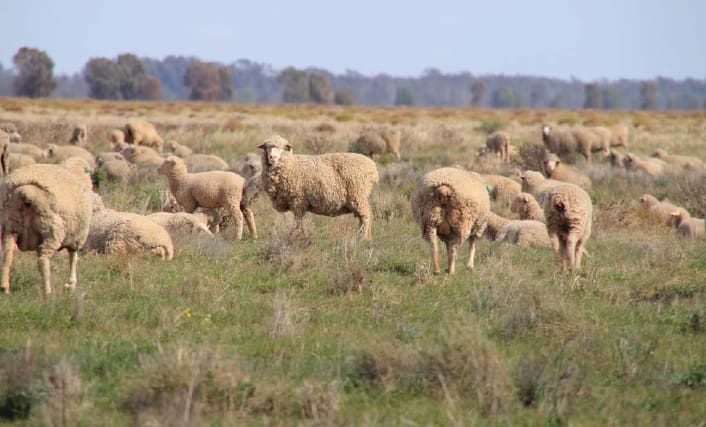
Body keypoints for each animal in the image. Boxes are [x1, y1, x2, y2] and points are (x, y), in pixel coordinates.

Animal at [0, 164, 93, 294]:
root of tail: (26, 193)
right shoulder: (77, 238)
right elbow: (73, 259)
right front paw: (71, 284)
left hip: (10, 225)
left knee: (7, 255)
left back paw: (4, 287)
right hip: (51, 230)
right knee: (43, 260)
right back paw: (47, 291)